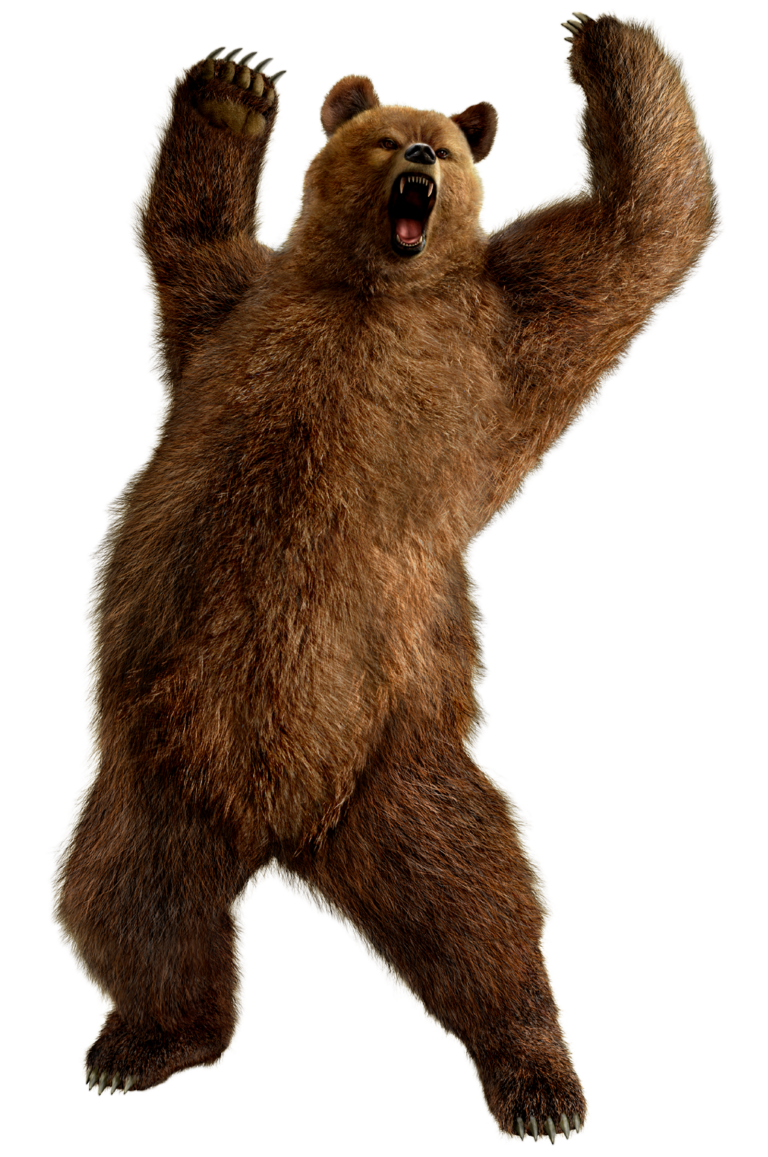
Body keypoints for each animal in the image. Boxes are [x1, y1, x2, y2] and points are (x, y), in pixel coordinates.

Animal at [49, 11, 722, 1142]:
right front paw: (236, 88)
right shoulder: (235, 320)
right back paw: (142, 1040)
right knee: (129, 899)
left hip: (396, 756)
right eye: (381, 138)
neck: (373, 288)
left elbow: (631, 235)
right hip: (156, 769)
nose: (416, 163)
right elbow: (189, 247)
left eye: (440, 146)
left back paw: (539, 1076)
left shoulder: (496, 336)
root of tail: (280, 826)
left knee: (482, 898)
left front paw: (607, 41)